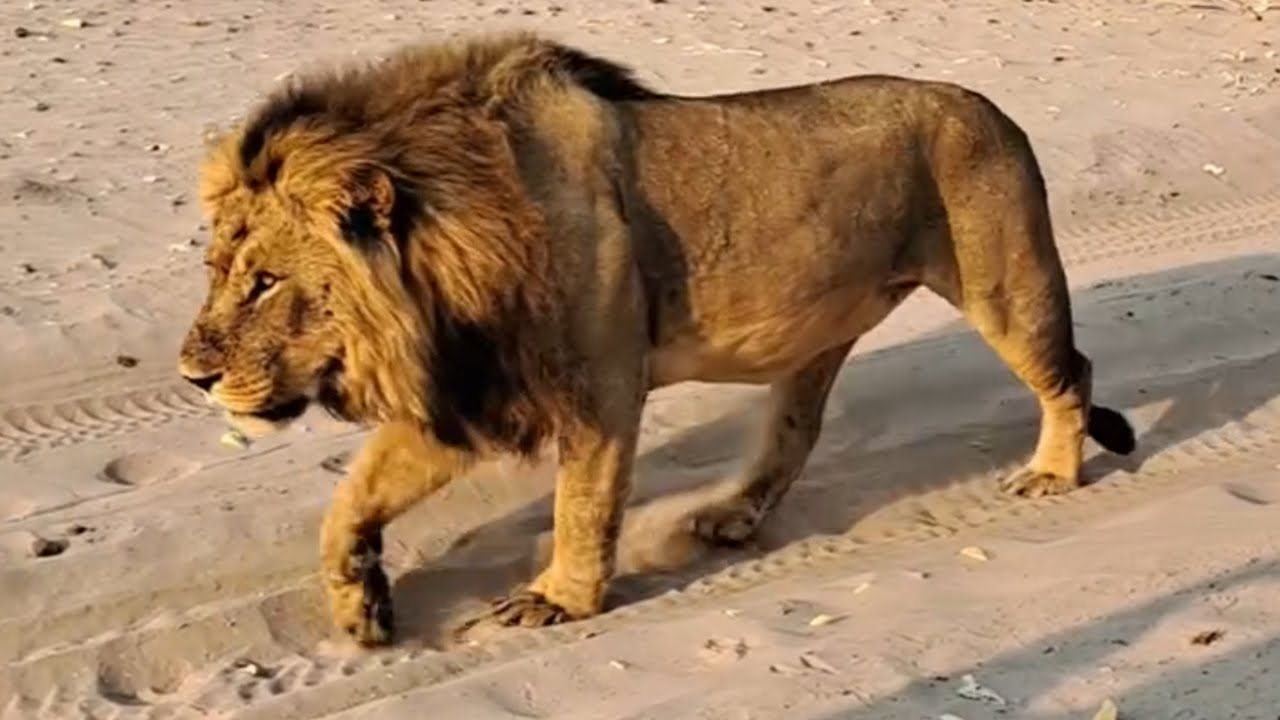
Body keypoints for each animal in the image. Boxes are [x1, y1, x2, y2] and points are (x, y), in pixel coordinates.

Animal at [177, 31, 1136, 646]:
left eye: (266, 281)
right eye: (219, 270)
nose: (192, 377)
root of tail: (989, 106)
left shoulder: (598, 388)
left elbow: (584, 505)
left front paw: (560, 601)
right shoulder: (476, 385)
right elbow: (355, 496)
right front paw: (358, 605)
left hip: (1006, 287)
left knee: (1073, 372)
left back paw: (1053, 473)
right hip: (821, 334)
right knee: (795, 433)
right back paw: (731, 516)